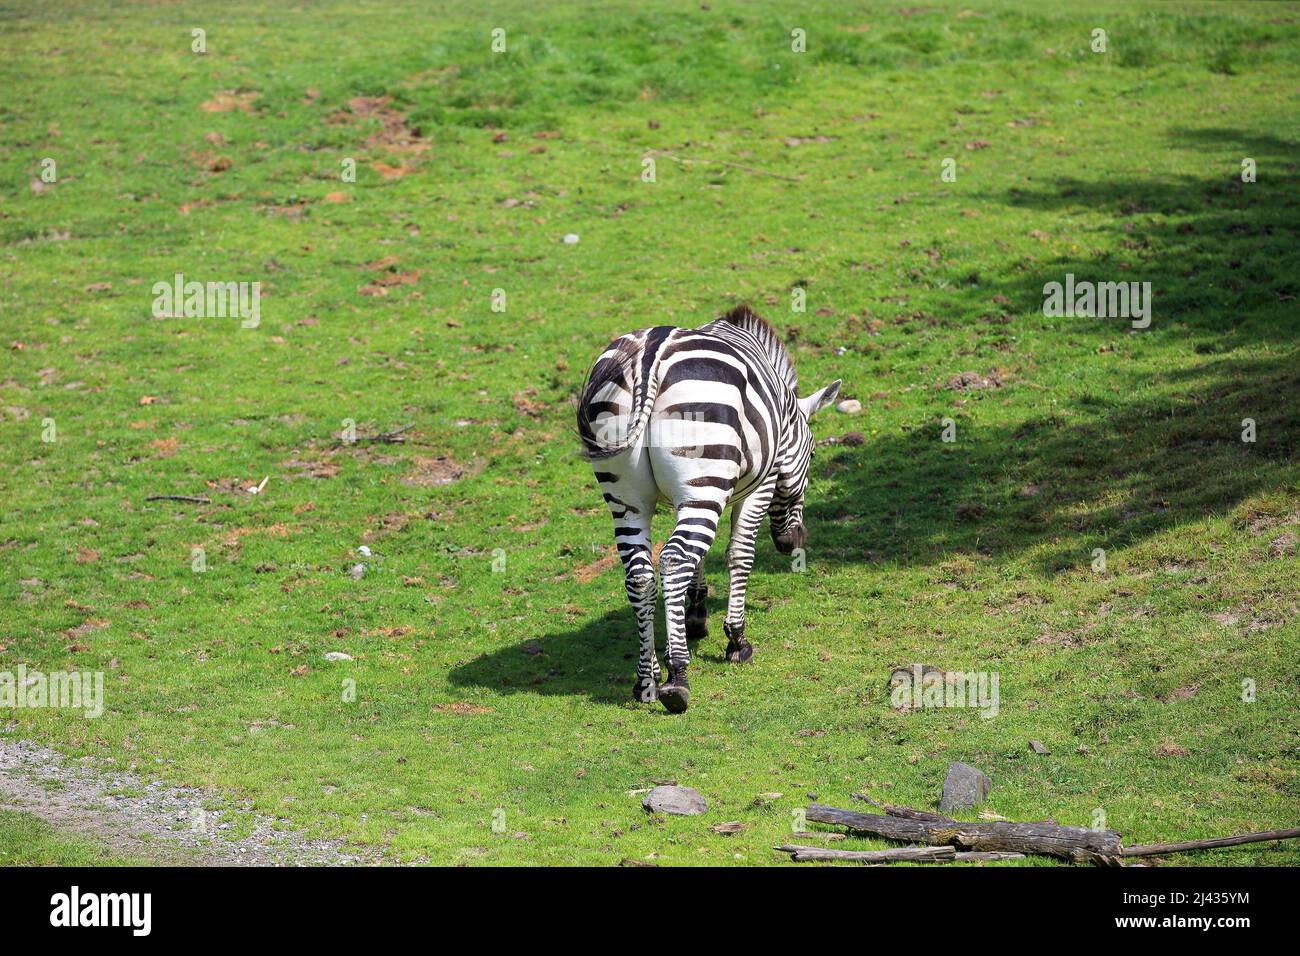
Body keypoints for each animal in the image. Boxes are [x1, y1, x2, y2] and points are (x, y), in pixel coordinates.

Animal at [576, 305, 841, 713]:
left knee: (643, 574)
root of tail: (647, 355)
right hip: (702, 478)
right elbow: (739, 554)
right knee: (674, 560)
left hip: (629, 500)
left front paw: (695, 617)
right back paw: (677, 679)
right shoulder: (758, 486)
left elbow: (699, 560)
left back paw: (647, 679)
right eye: (812, 454)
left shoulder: (686, 497)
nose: (792, 543)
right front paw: (736, 639)